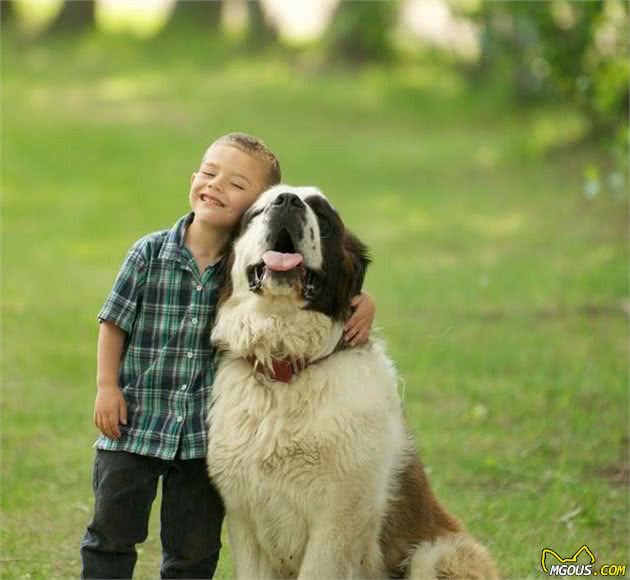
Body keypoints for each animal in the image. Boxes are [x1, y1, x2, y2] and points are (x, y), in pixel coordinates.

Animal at [206, 187, 498, 580]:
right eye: (257, 211)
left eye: (324, 218)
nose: (287, 201)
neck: (286, 365)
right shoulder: (244, 519)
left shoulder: (336, 523)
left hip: (439, 554)